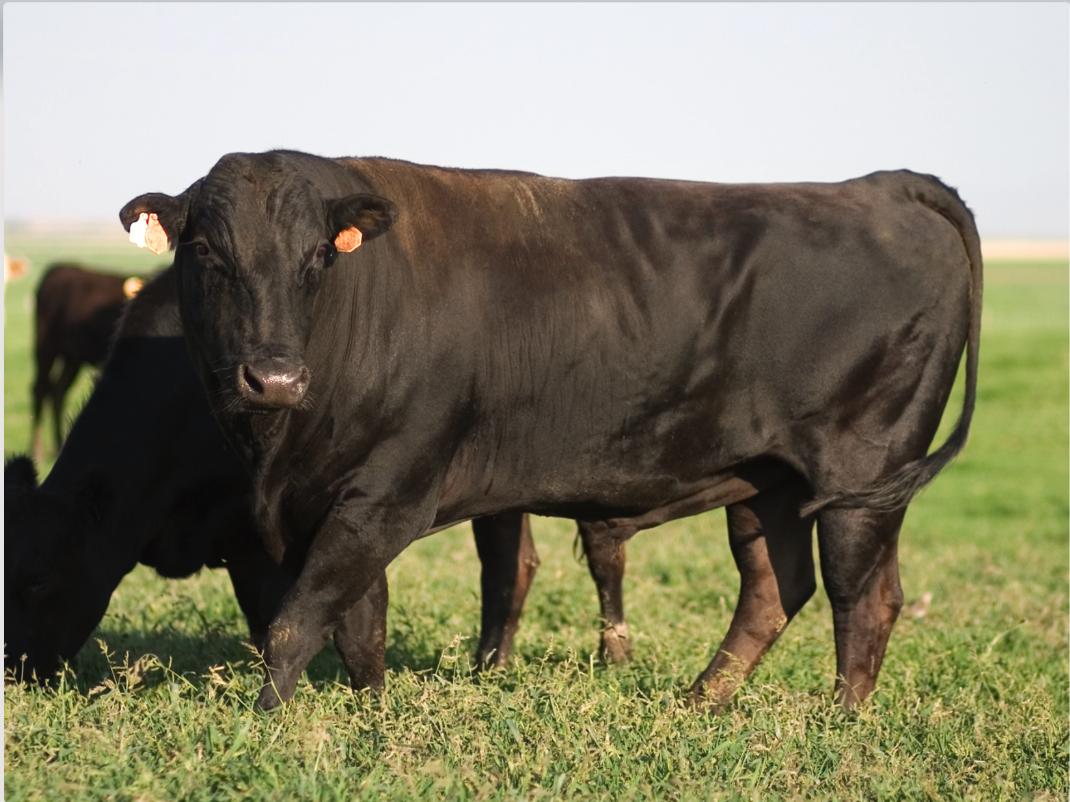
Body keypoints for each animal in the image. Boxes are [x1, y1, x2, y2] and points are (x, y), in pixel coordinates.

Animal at [29, 263, 144, 461]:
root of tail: (57, 269)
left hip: (72, 357)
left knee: (58, 392)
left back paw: (59, 445)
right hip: (45, 347)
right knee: (40, 390)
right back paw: (37, 452)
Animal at [122, 152, 981, 712]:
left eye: (315, 260)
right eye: (206, 251)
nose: (273, 377)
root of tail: (881, 187)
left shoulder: (385, 492)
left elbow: (296, 623)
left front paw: (267, 725)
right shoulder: (328, 500)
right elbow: (359, 629)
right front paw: (371, 719)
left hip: (861, 476)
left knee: (863, 596)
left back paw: (842, 718)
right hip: (769, 482)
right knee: (776, 585)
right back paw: (701, 700)